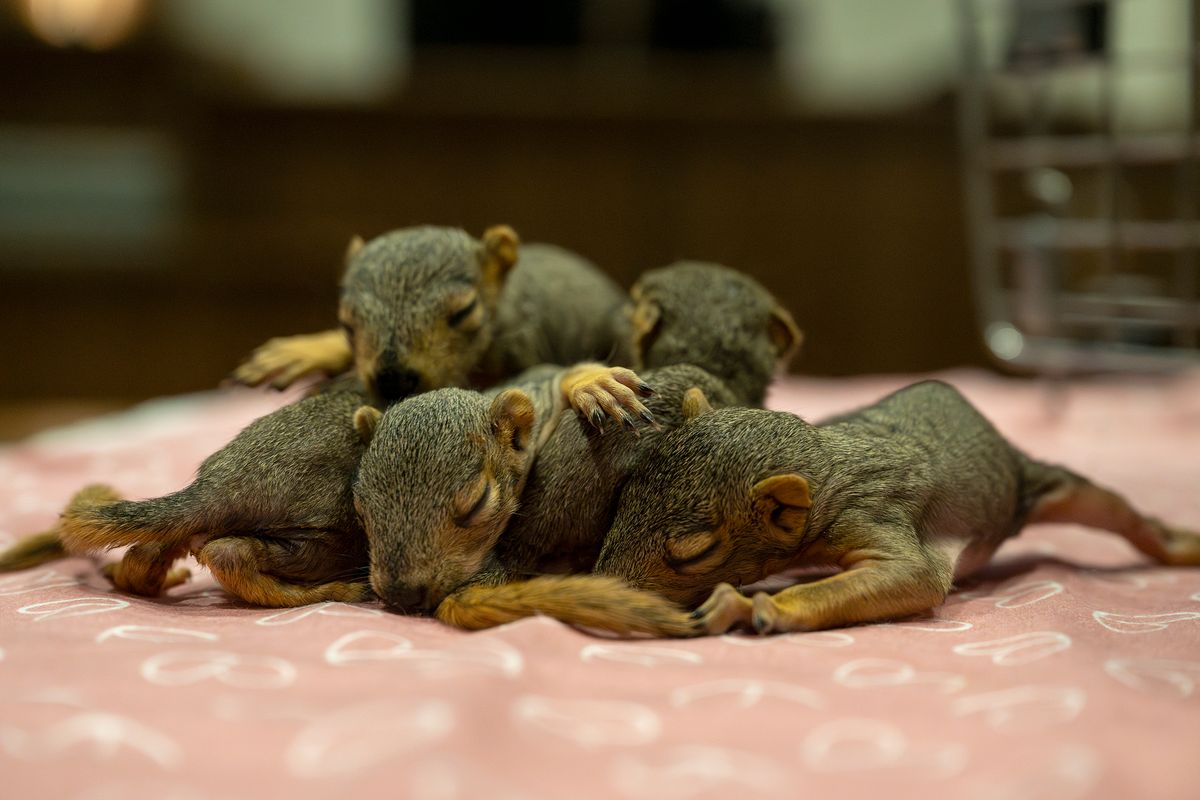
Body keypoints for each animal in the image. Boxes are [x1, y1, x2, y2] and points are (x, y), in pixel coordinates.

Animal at [0, 364, 650, 607]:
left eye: (477, 506)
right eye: (364, 508)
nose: (404, 596)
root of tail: (220, 481)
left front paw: (591, 383)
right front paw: (592, 381)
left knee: (163, 551)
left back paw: (144, 570)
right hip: (322, 538)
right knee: (228, 554)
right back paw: (328, 592)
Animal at [231, 225, 626, 404]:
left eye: (465, 311)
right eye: (345, 324)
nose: (392, 379)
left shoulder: (524, 344)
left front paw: (589, 380)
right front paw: (309, 349)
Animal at [583, 380, 1200, 635]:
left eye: (695, 551)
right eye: (624, 499)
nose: (602, 582)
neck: (823, 464)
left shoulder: (870, 510)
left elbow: (915, 575)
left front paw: (752, 607)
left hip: (1051, 490)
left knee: (1121, 515)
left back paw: (1179, 545)